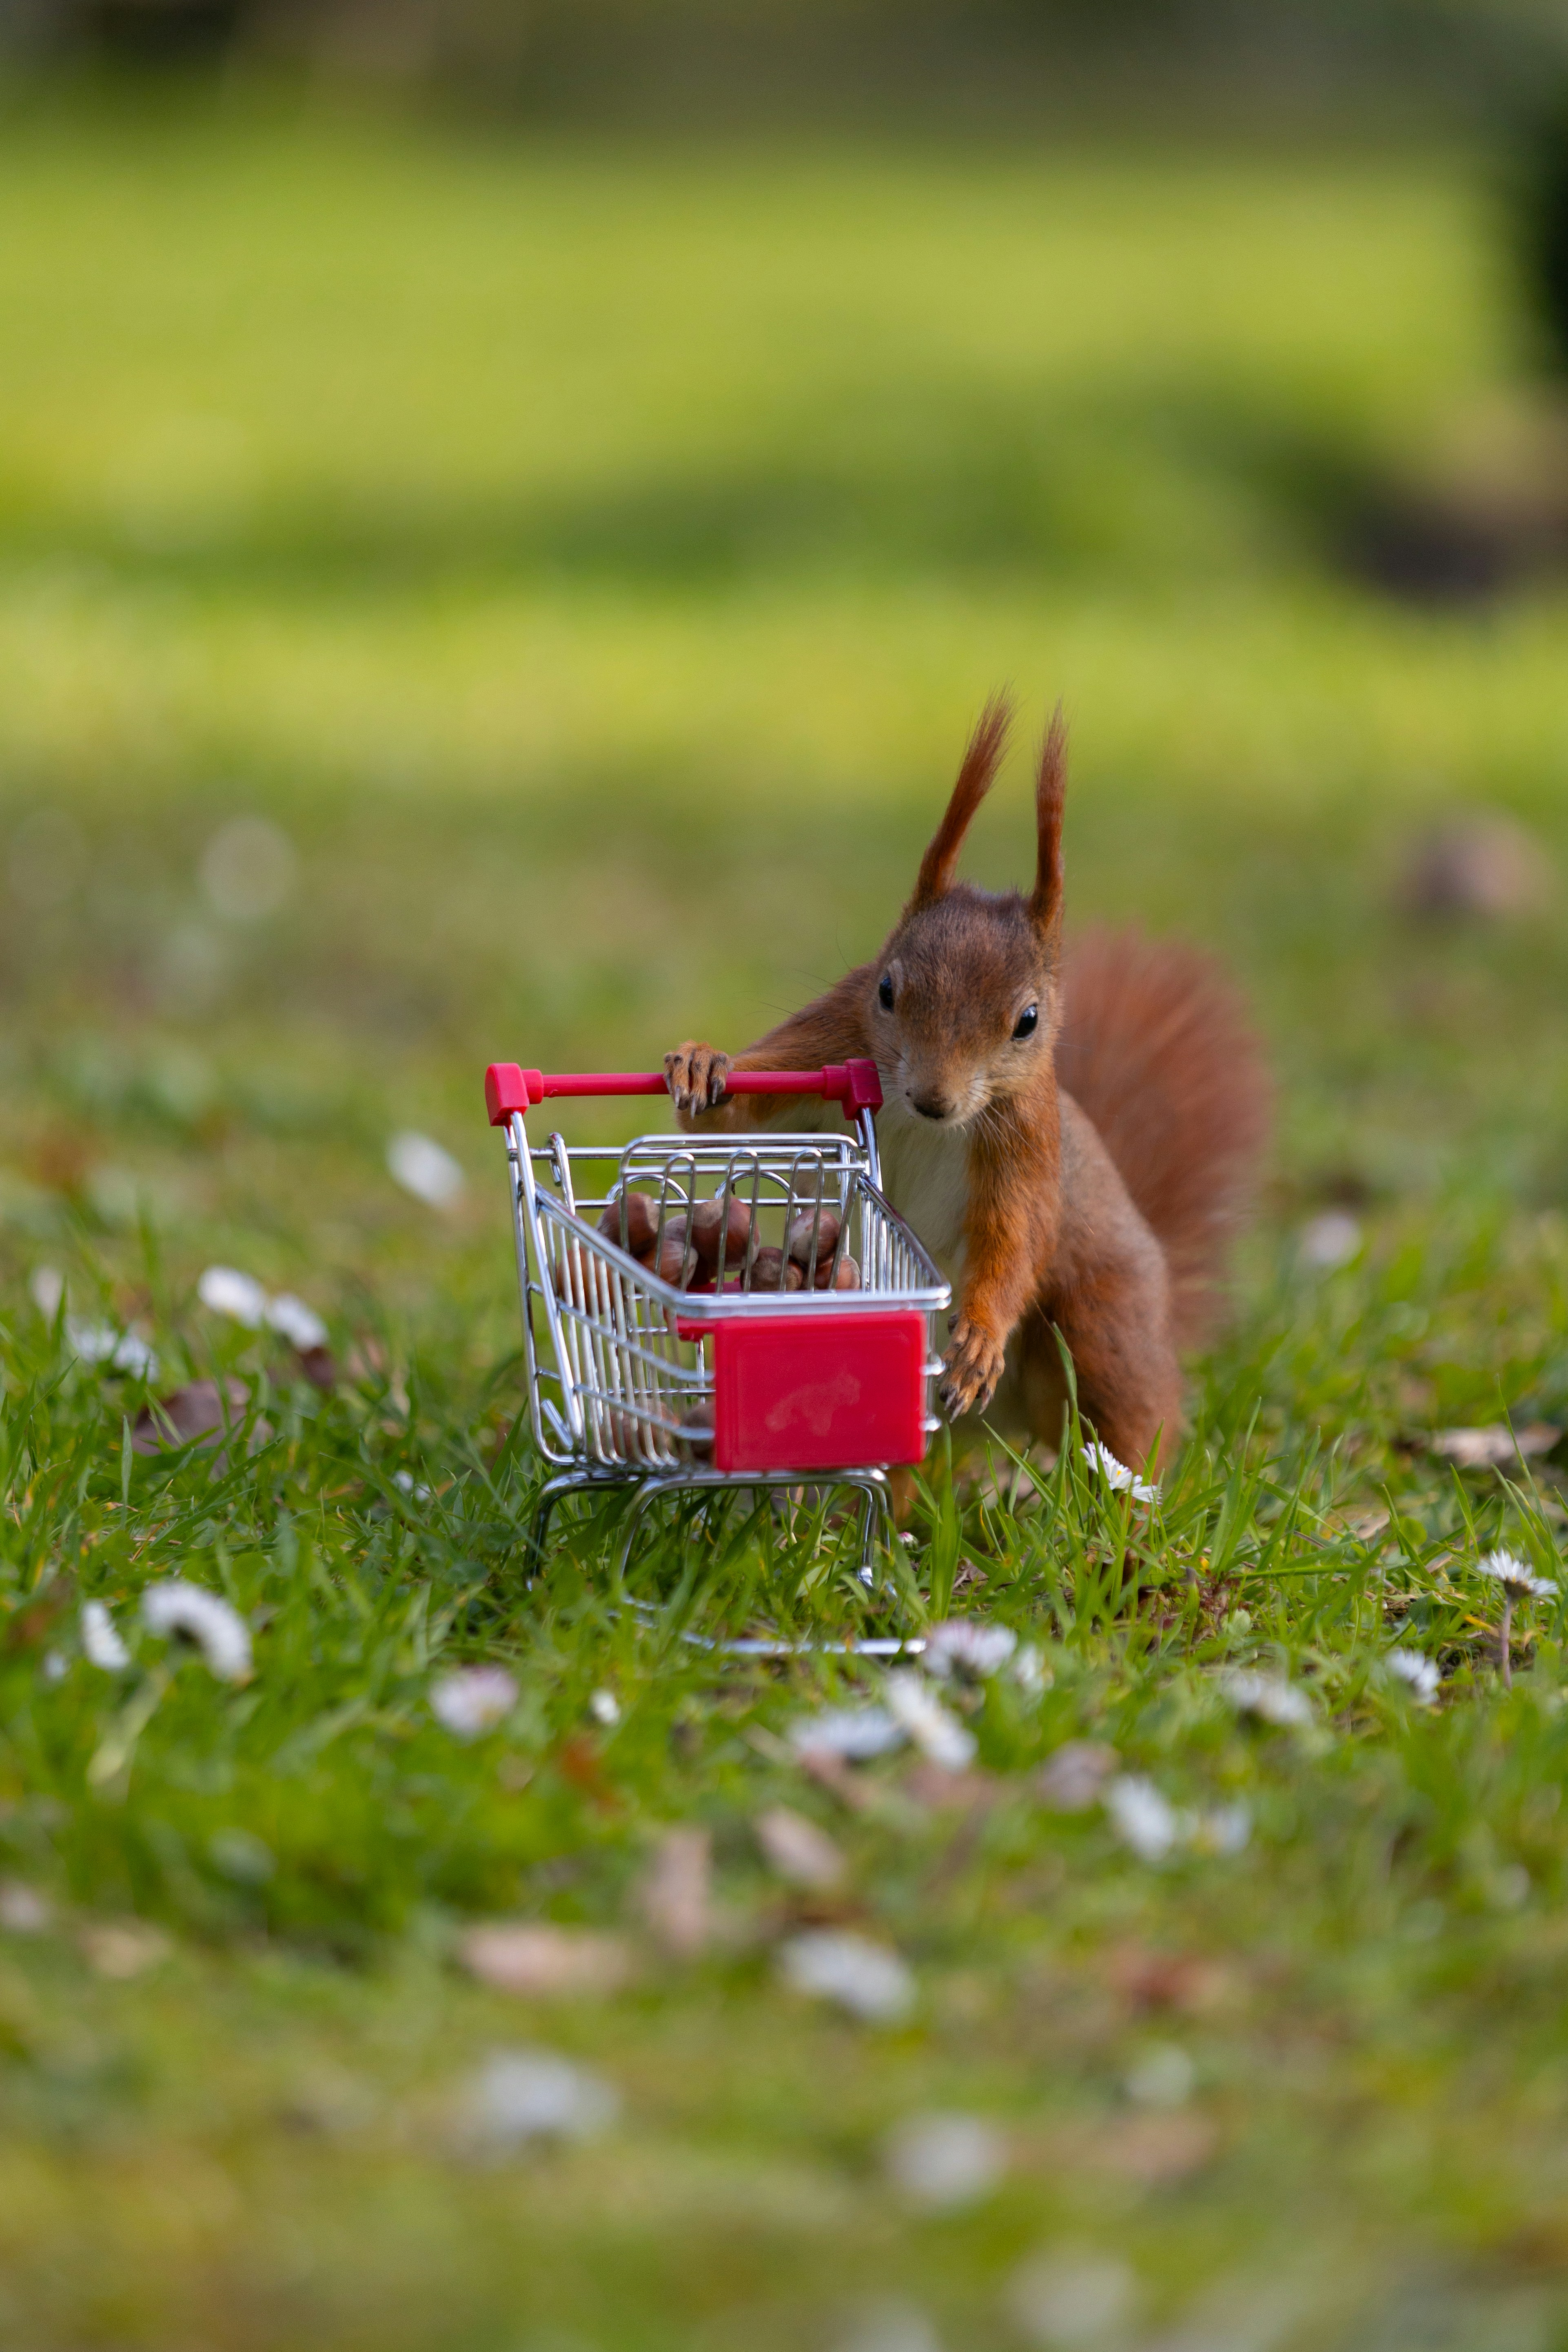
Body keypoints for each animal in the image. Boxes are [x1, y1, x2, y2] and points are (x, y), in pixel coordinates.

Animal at [664, 697, 1270, 1473]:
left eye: (1028, 1021)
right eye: (886, 989)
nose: (932, 1098)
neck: (921, 1123)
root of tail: (1002, 1428)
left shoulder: (1023, 1141)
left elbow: (1014, 1243)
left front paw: (981, 1334)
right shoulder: (830, 1042)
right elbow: (731, 1123)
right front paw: (702, 1063)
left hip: (1104, 1328)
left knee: (1130, 1423)